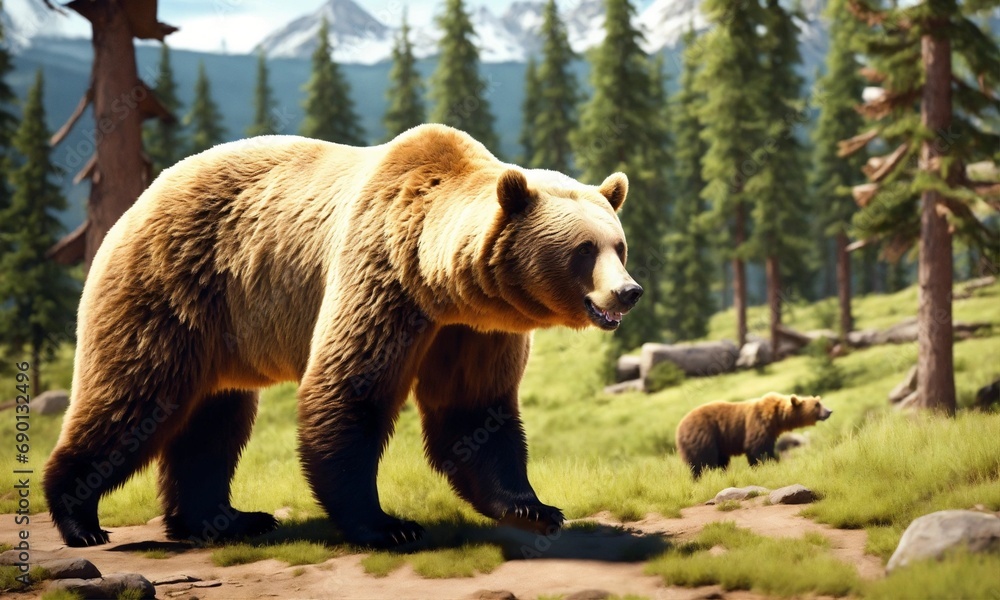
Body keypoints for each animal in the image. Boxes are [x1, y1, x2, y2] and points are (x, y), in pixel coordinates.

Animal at [43, 124, 643, 548]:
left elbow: (475, 410)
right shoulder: (382, 275)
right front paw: (387, 525)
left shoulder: (473, 328)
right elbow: (349, 389)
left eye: (619, 244)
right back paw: (79, 517)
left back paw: (224, 519)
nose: (628, 292)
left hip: (224, 328)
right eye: (584, 250)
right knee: (135, 396)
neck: (439, 282)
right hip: (173, 289)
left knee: (214, 418)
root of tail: (137, 203)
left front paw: (535, 508)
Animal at [674, 392, 832, 478]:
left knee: (720, 461)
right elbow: (758, 449)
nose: (829, 411)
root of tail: (679, 428)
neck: (776, 418)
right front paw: (768, 464)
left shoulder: (771, 431)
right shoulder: (758, 423)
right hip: (704, 436)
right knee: (703, 462)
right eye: (817, 404)